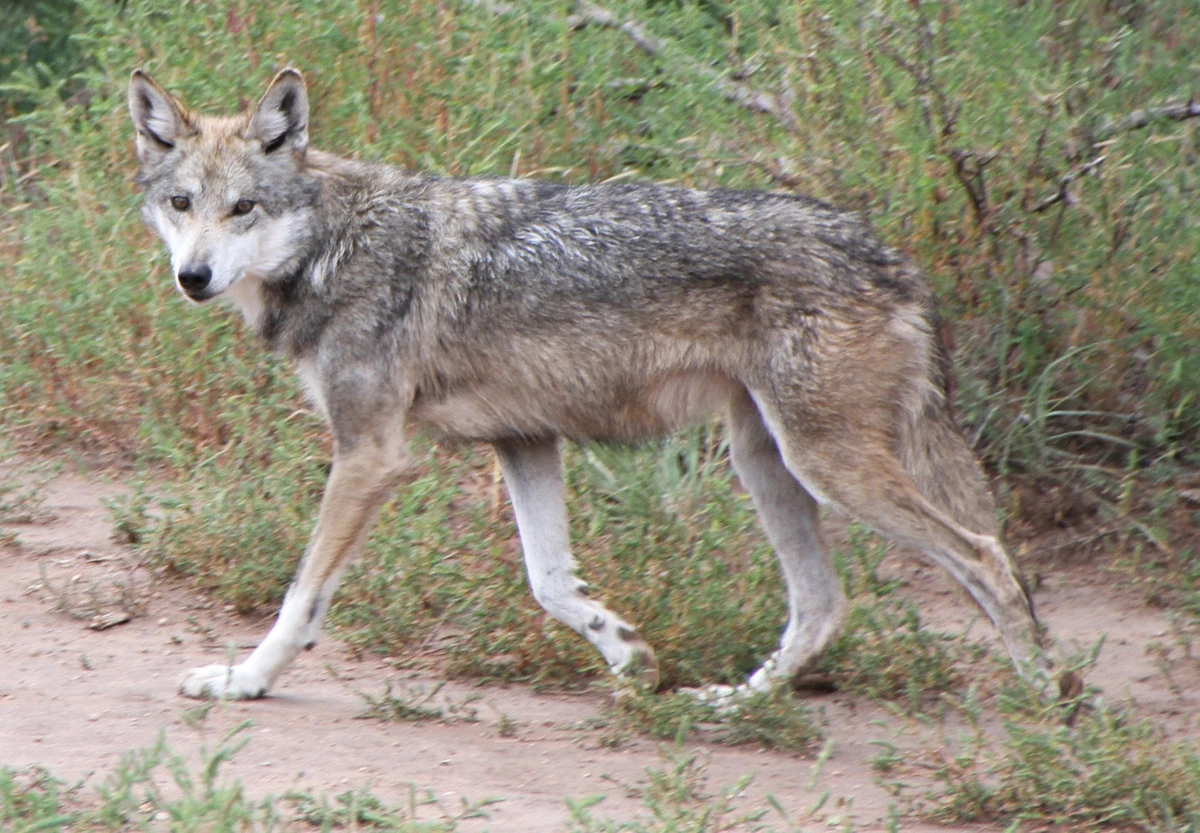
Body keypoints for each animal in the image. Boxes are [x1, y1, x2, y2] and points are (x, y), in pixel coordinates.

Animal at [127, 68, 1080, 704]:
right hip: (767, 464)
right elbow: (552, 582)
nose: (193, 278)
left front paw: (243, 680)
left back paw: (1044, 711)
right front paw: (632, 657)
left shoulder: (371, 456)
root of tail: (894, 260)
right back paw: (729, 705)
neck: (332, 247)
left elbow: (301, 598)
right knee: (822, 604)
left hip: (827, 466)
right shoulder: (524, 438)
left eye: (243, 209)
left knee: (987, 560)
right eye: (181, 204)